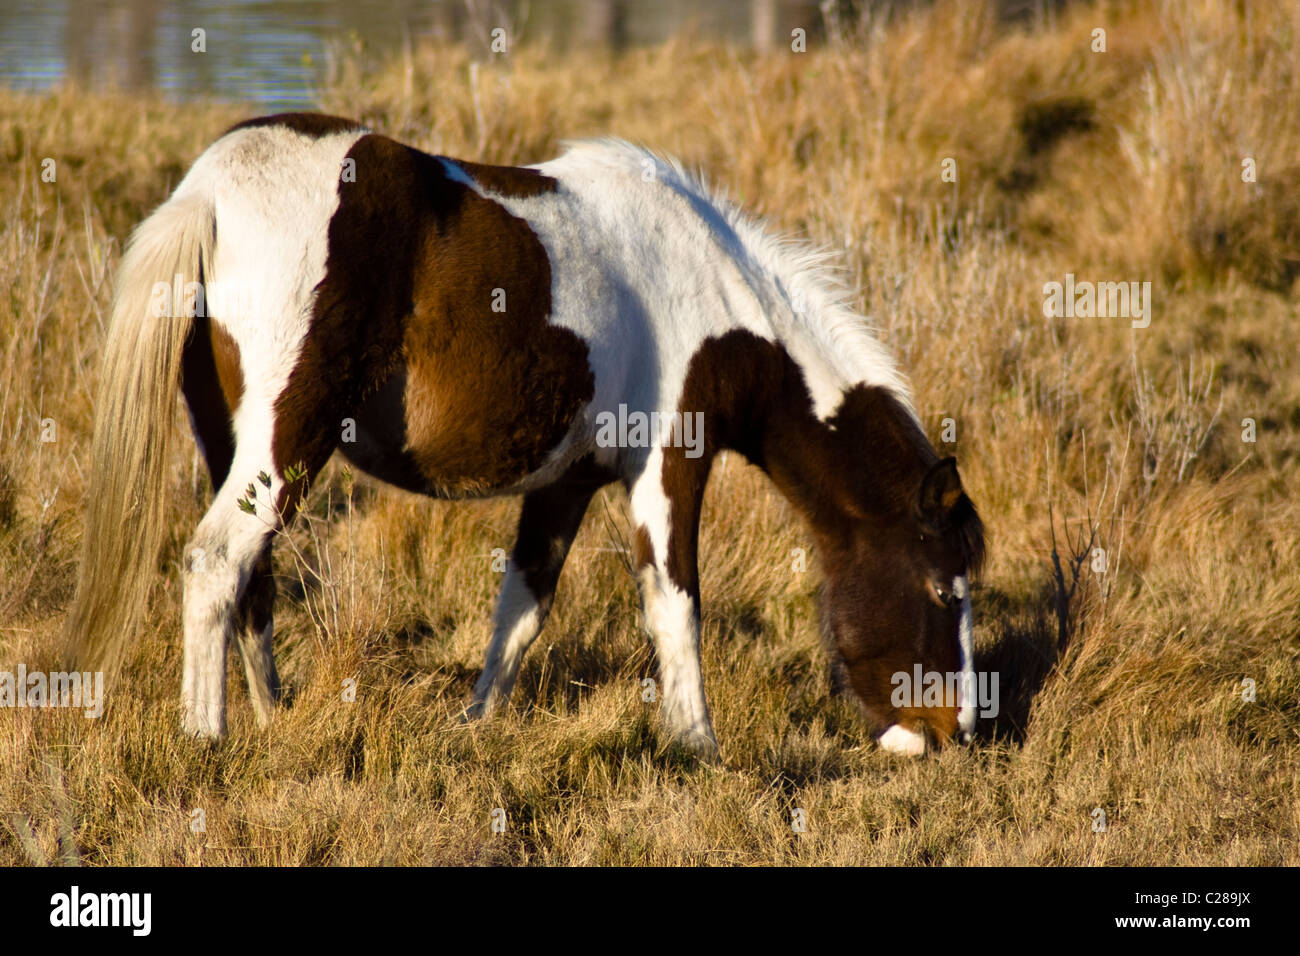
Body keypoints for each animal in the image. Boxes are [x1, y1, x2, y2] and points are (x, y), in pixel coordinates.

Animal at [64, 112, 985, 758]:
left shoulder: (565, 483)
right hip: (284, 447)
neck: (714, 299)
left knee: (250, 577)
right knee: (217, 561)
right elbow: (675, 605)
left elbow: (523, 608)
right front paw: (699, 747)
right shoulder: (669, 468)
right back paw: (206, 739)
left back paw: (269, 718)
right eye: (946, 592)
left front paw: (475, 726)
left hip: (234, 447)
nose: (959, 733)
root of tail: (208, 194)